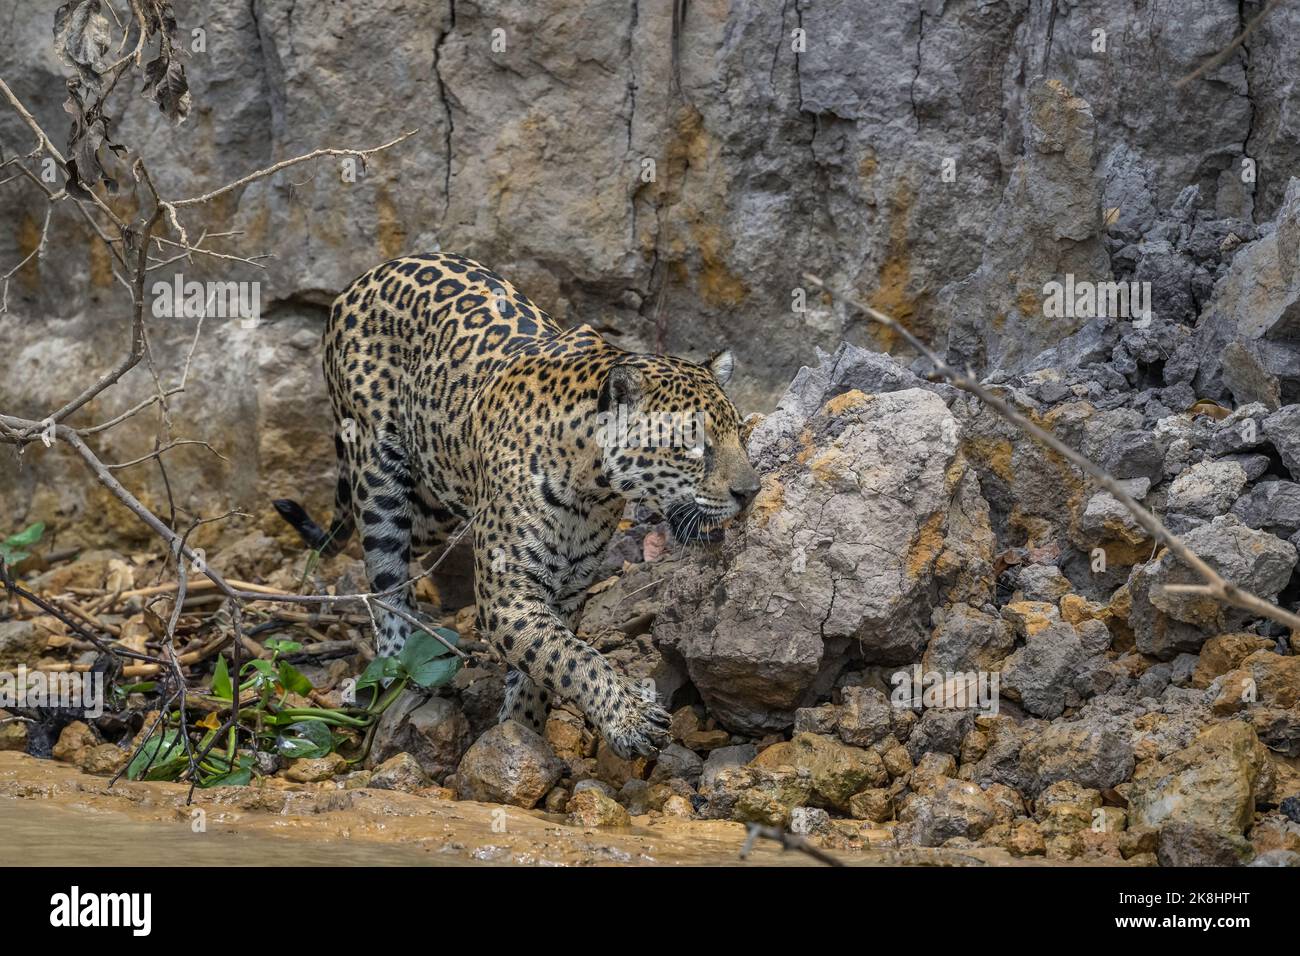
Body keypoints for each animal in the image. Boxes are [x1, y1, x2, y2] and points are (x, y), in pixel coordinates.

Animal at [274, 252, 760, 759]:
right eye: (691, 443)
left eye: (739, 432)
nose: (751, 491)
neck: (591, 489)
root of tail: (366, 275)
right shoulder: (507, 594)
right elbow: (574, 657)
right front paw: (629, 718)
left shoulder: (569, 588)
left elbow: (545, 664)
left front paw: (520, 728)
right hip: (379, 475)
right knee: (385, 577)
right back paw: (392, 668)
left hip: (435, 497)